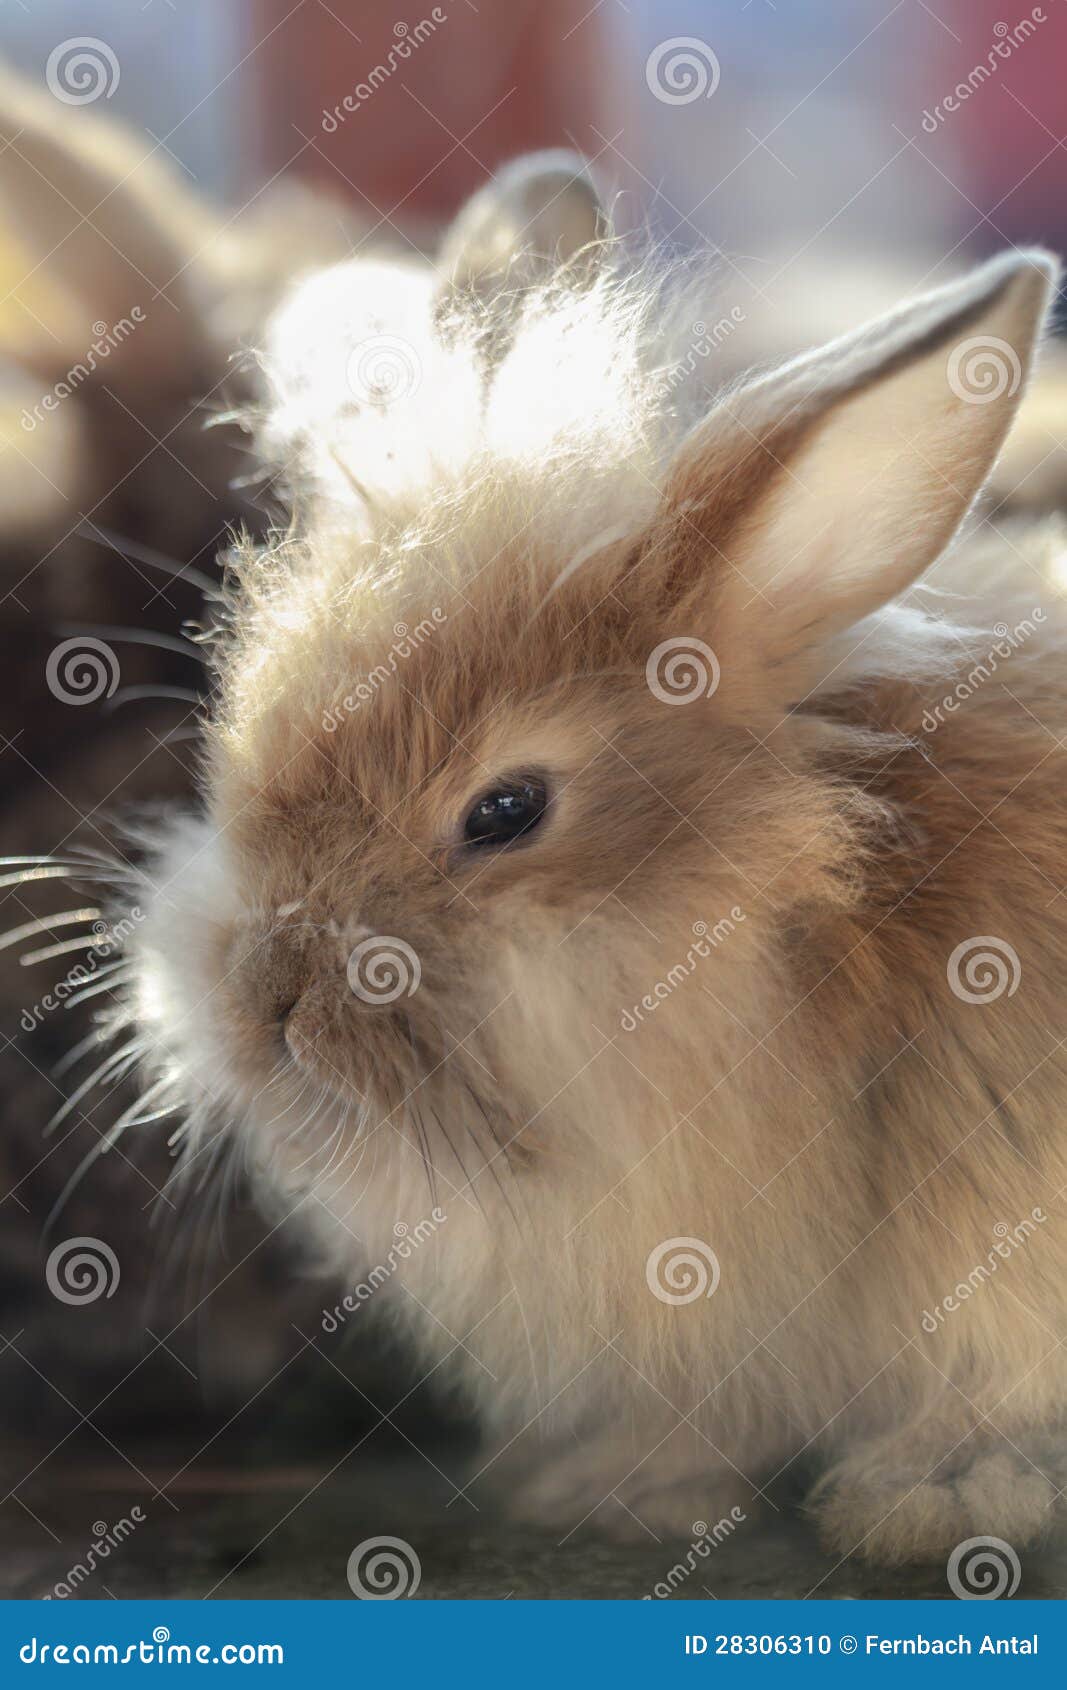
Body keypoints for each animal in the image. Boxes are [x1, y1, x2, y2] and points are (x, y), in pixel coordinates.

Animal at [23, 144, 1067, 1571]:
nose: (259, 1004)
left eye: (505, 812)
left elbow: (990, 1398)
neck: (799, 938)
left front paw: (928, 1496)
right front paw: (590, 1483)